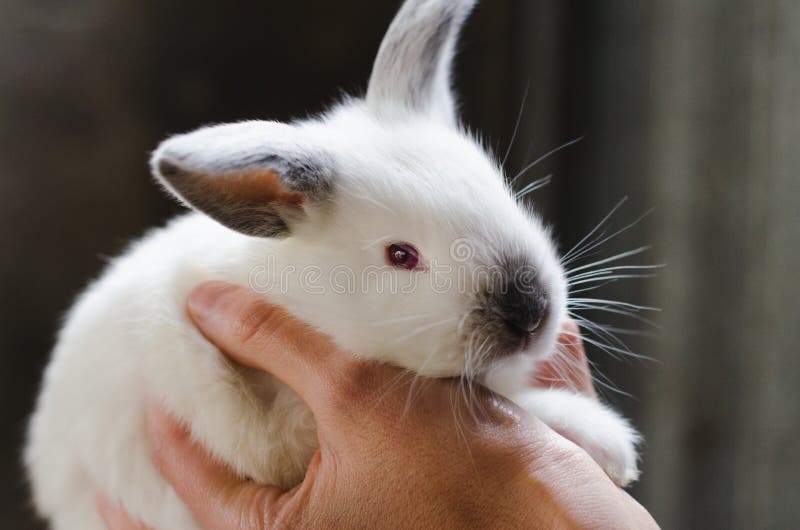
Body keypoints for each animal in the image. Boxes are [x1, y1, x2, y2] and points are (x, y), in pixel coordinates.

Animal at [25, 0, 640, 529]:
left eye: (504, 194)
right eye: (400, 255)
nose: (529, 313)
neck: (308, 301)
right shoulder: (284, 429)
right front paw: (610, 443)